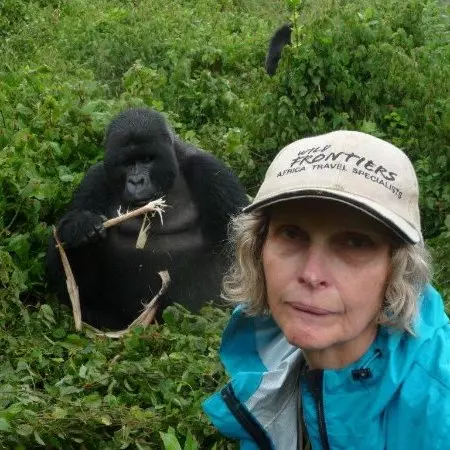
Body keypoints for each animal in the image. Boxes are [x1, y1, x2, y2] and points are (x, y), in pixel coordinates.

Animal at [45, 107, 248, 328]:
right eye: (127, 163)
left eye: (147, 160)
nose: (137, 181)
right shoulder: (94, 180)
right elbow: (66, 281)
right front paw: (78, 228)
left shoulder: (213, 174)